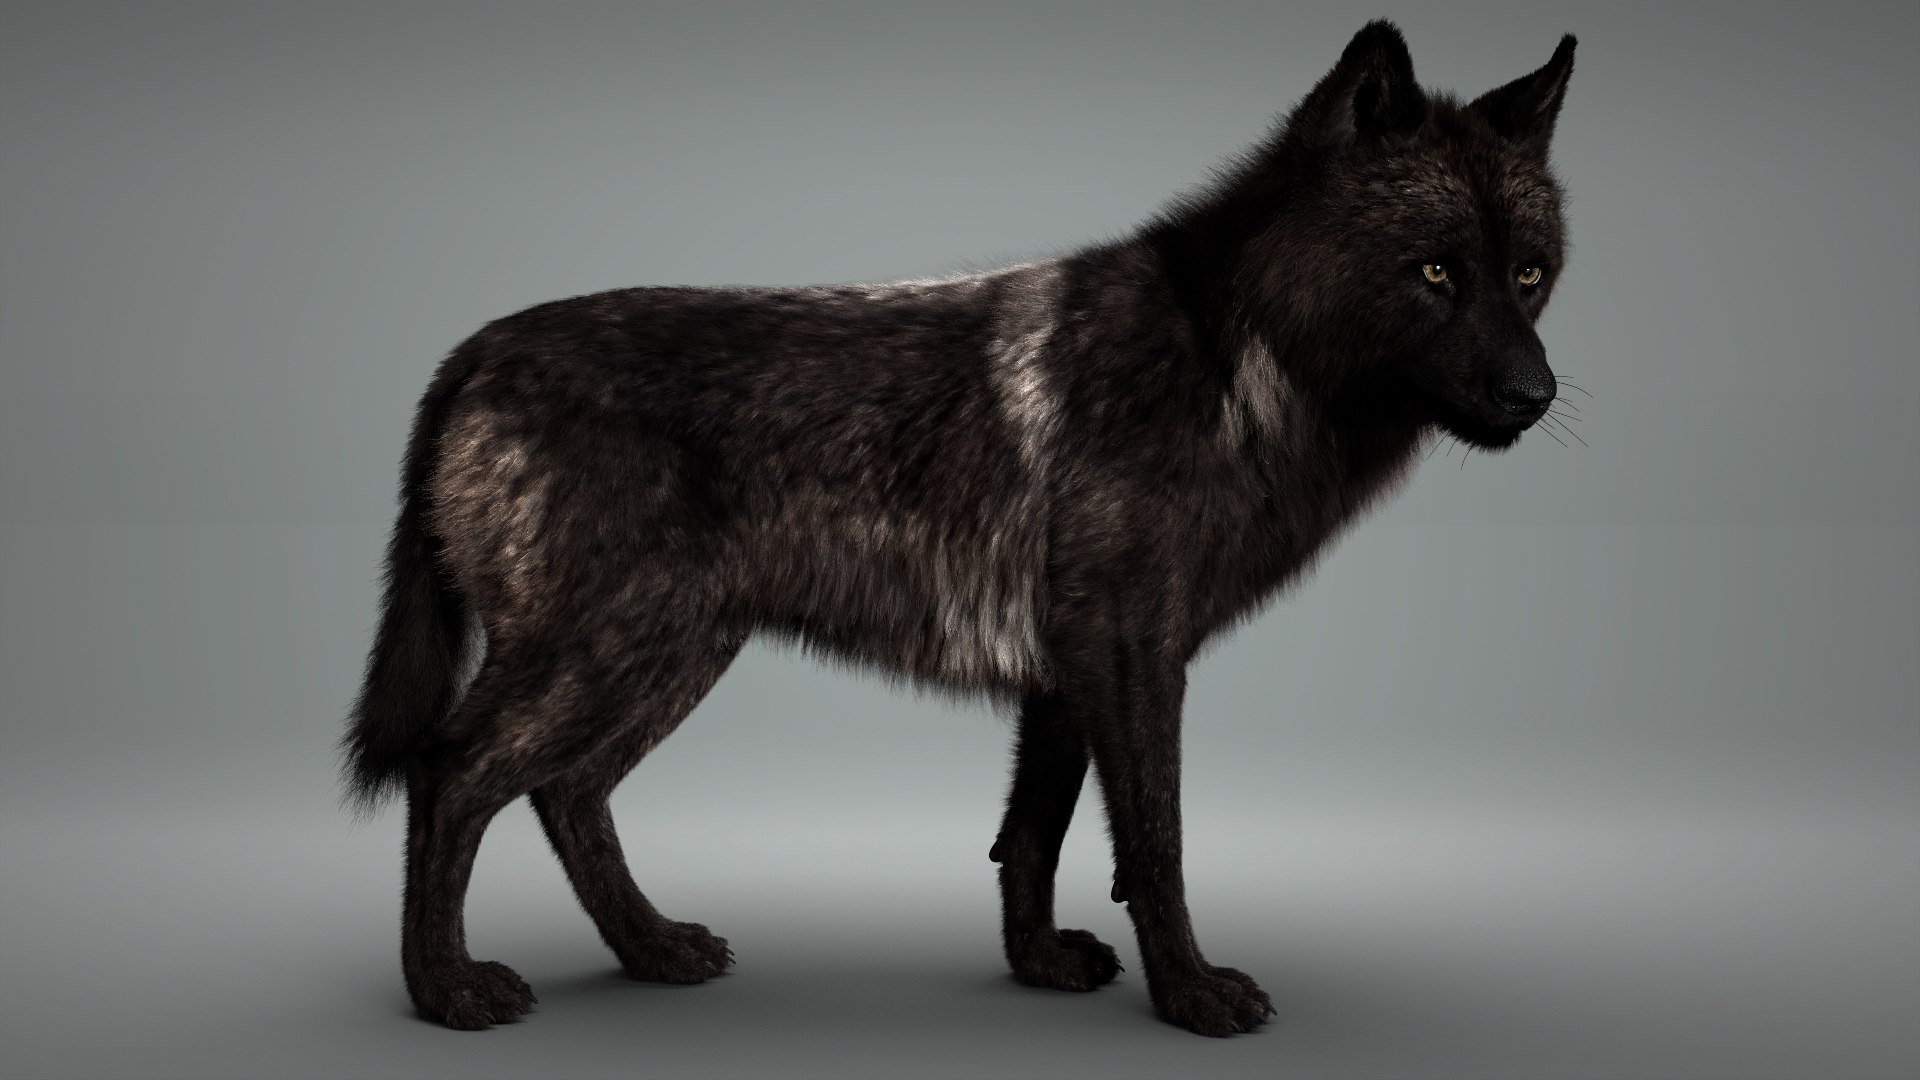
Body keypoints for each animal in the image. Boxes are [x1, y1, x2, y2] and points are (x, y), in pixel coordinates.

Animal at [342, 20, 1577, 1035]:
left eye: (1528, 274)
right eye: (1435, 272)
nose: (1537, 395)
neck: (1234, 360)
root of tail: (475, 350)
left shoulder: (1070, 671)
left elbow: (1033, 834)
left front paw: (1038, 966)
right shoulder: (1130, 654)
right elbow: (1157, 842)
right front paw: (1191, 996)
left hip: (670, 656)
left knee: (566, 791)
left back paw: (651, 950)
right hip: (608, 655)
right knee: (453, 775)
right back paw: (445, 992)